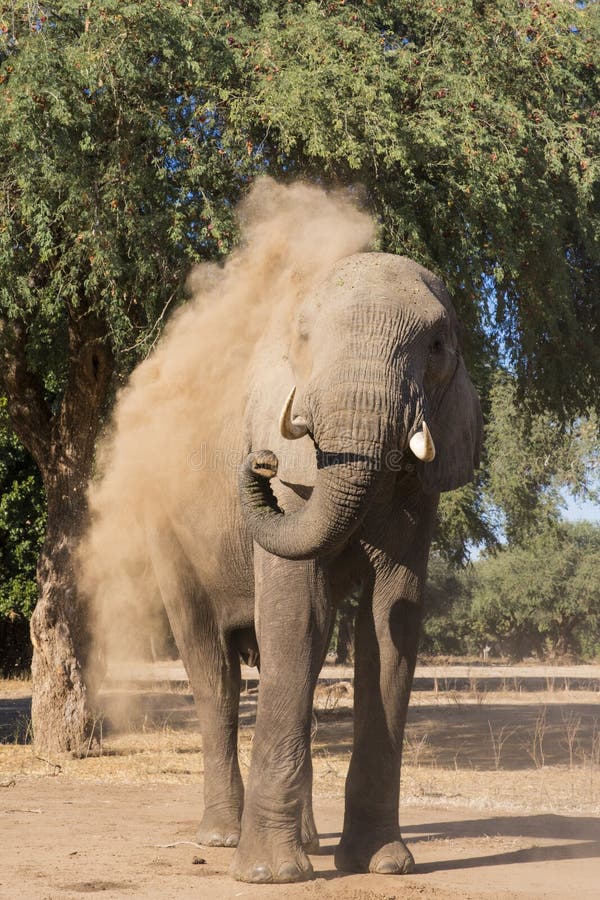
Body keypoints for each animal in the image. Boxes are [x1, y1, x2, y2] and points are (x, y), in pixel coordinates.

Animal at [147, 251, 482, 884]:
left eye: (437, 346)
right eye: (304, 338)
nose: (260, 460)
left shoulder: (422, 487)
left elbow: (390, 624)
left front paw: (385, 865)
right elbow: (296, 613)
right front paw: (270, 876)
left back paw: (306, 840)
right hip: (170, 541)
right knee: (214, 672)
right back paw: (224, 838)